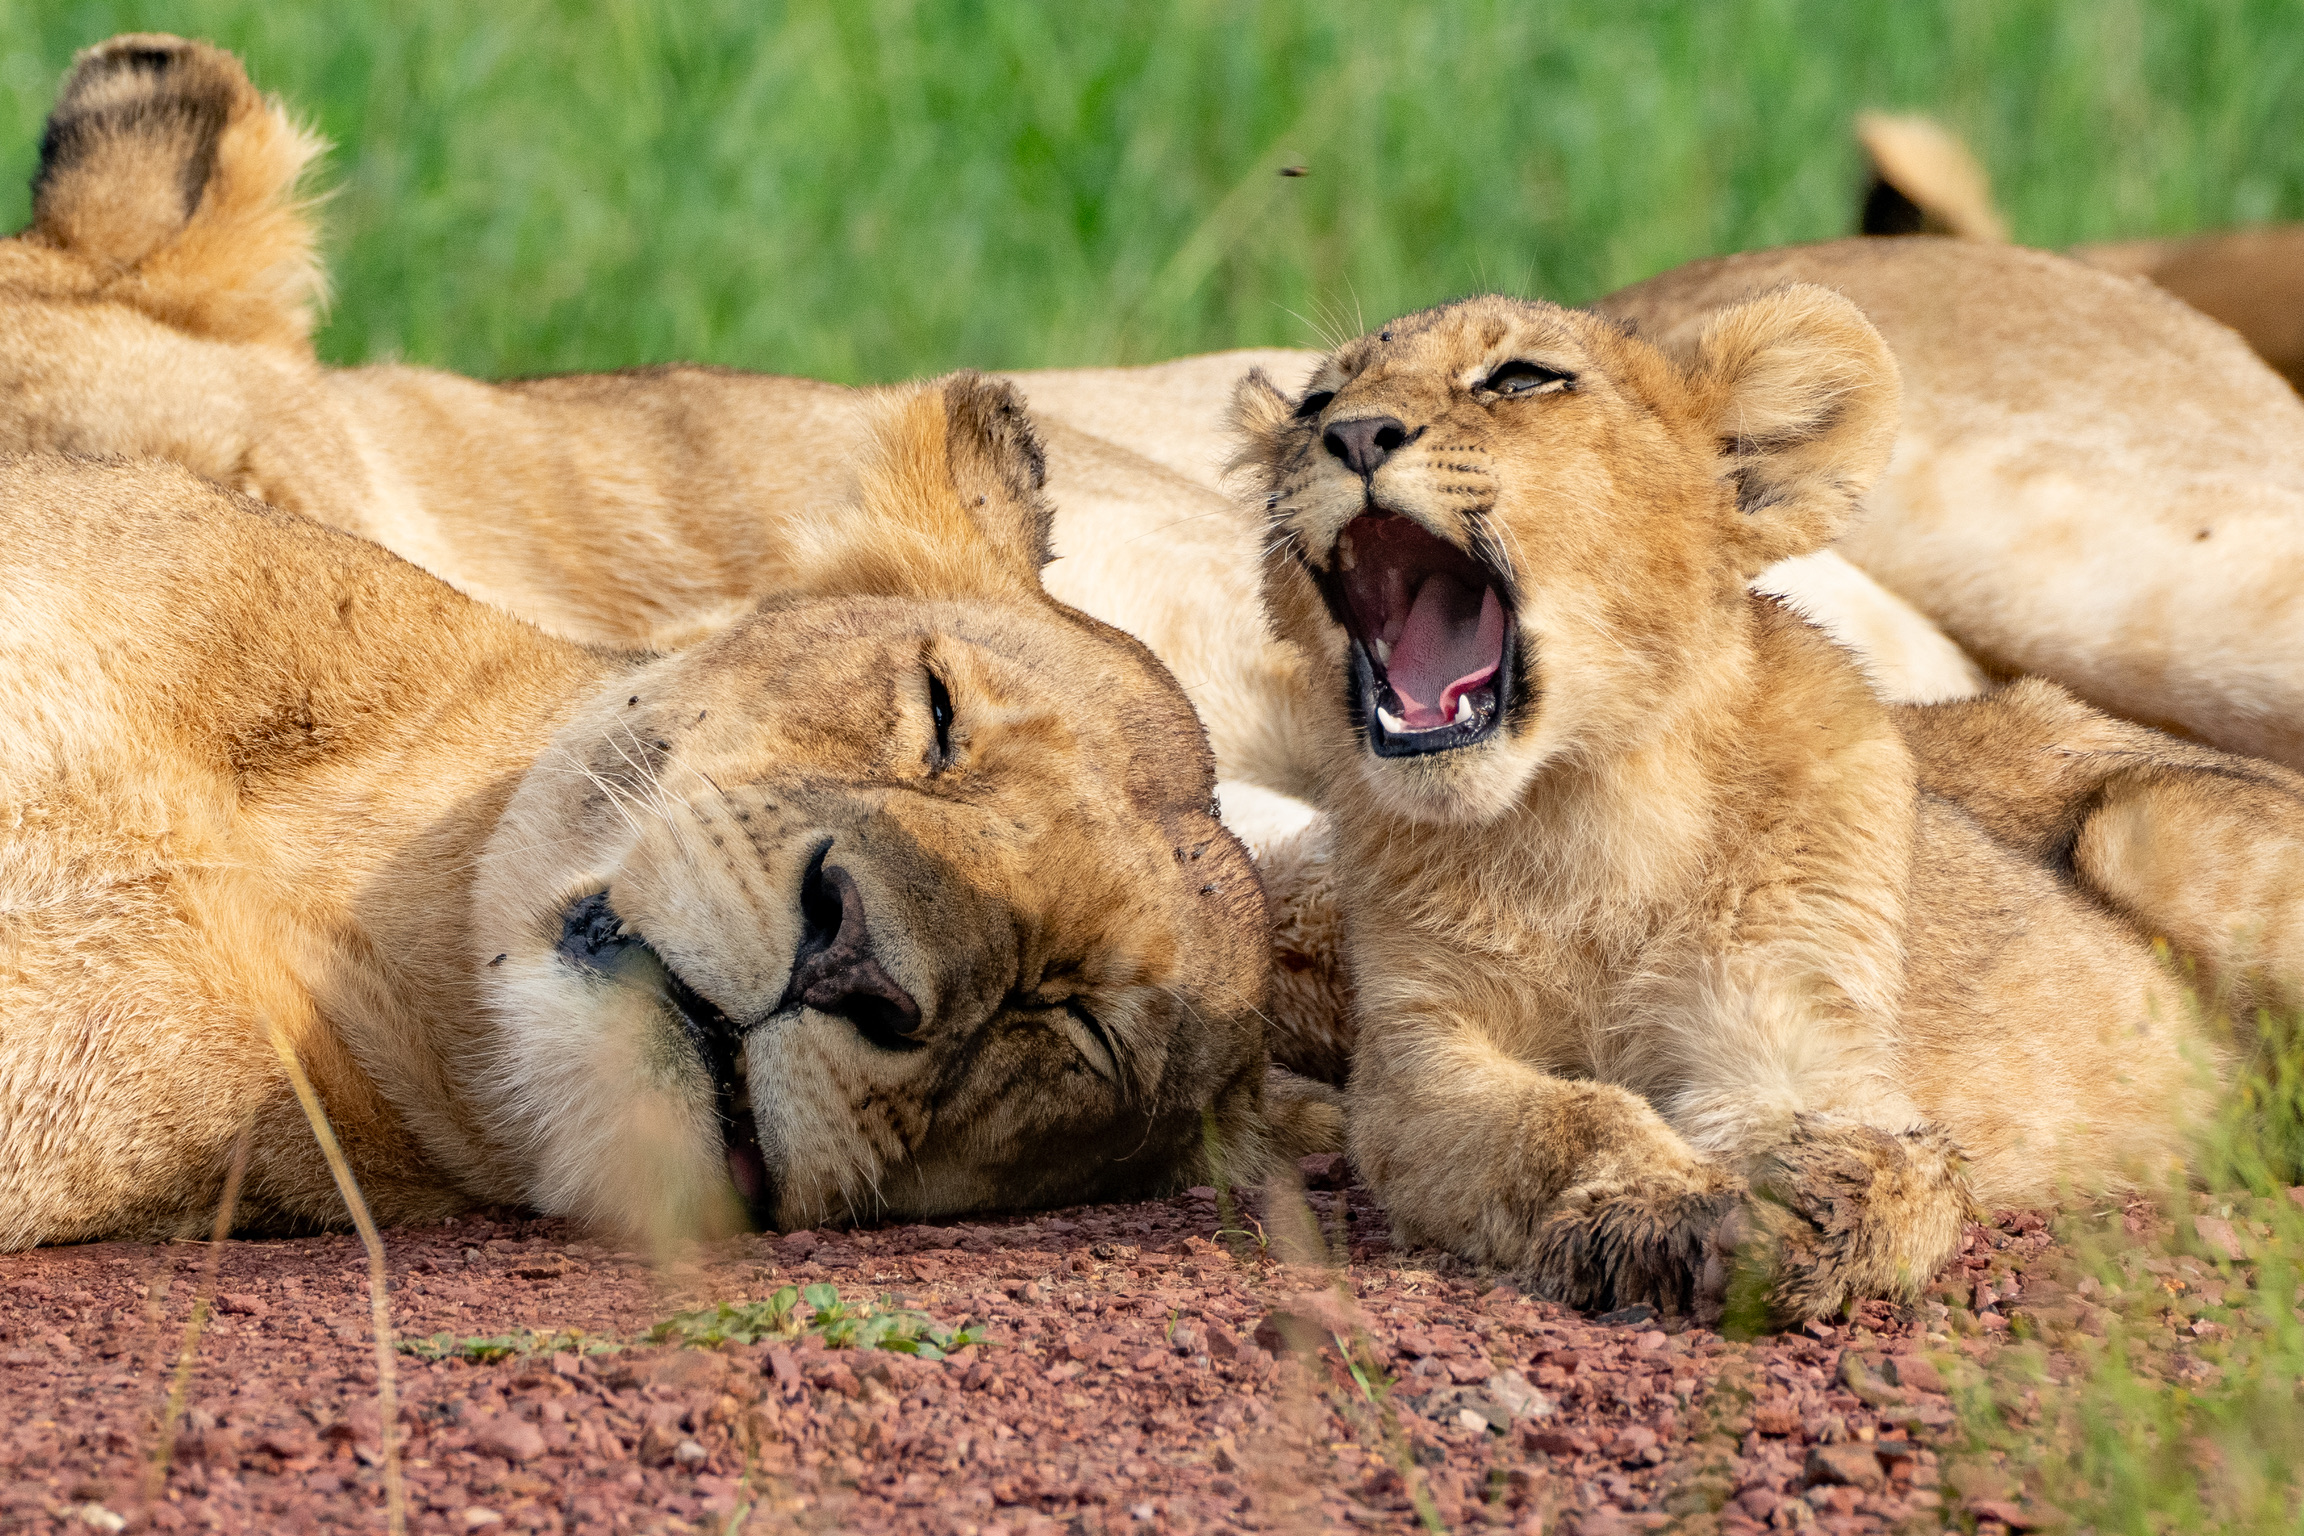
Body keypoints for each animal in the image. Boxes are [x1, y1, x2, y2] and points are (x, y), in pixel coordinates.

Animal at [1230, 287, 2304, 1321]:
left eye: (1522, 377)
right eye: (1317, 403)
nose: (1355, 435)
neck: (1578, 817)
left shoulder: (1787, 1016)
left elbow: (1841, 1132)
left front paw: (1836, 1204)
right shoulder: (1417, 1049)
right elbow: (1564, 1116)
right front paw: (1662, 1207)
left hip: (2154, 827)